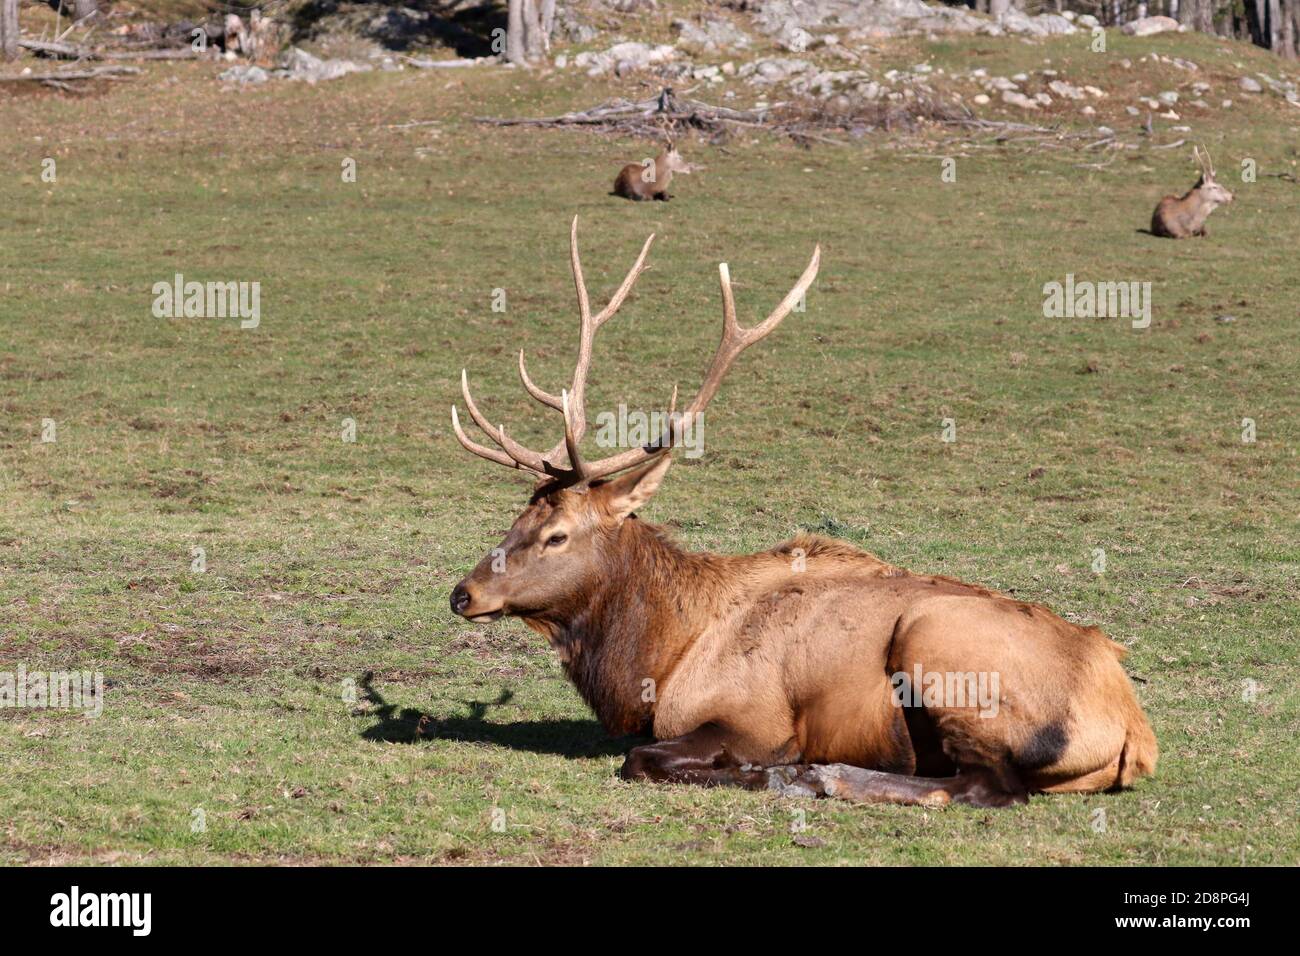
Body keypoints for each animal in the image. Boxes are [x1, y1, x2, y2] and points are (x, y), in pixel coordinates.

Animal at [448, 218, 1158, 808]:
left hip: (938, 645)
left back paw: (822, 777)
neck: (660, 657)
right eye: (516, 519)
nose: (462, 593)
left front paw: (764, 772)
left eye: (557, 535)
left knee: (984, 787)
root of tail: (1133, 732)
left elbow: (643, 758)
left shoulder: (751, 717)